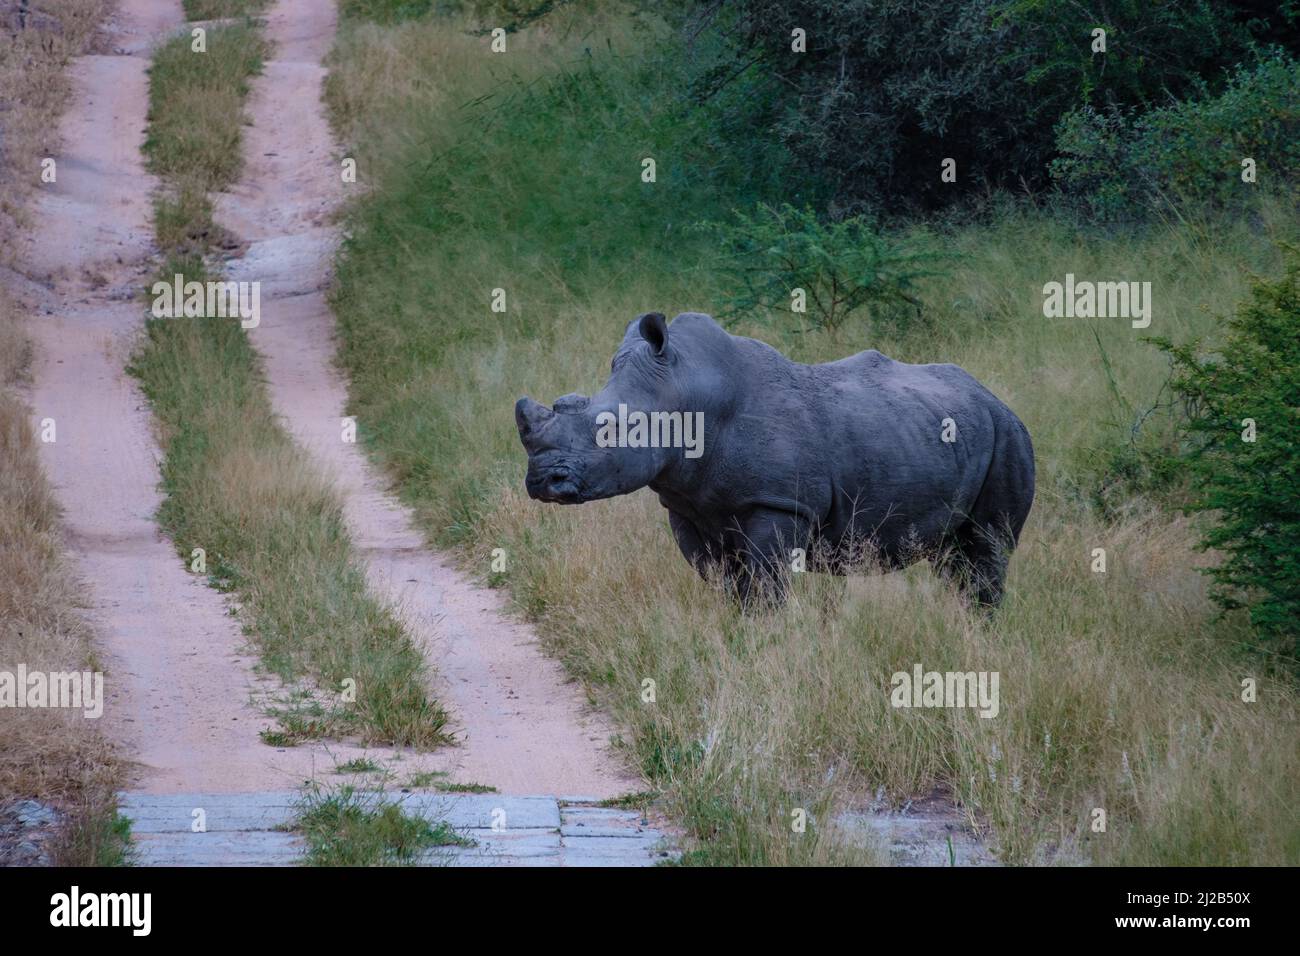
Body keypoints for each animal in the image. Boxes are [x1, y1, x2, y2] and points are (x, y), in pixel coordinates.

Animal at [515, 312, 1035, 608]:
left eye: (612, 428)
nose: (541, 483)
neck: (682, 393)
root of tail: (994, 397)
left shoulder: (779, 503)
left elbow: (765, 583)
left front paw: (765, 641)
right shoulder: (687, 505)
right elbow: (723, 582)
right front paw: (737, 630)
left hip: (1008, 436)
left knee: (986, 548)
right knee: (954, 558)